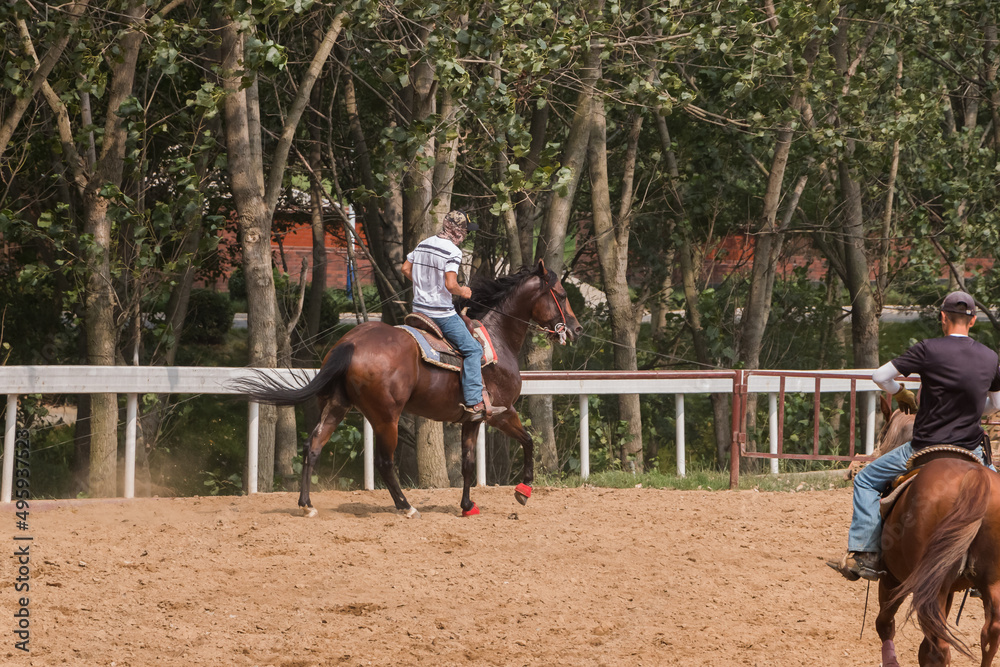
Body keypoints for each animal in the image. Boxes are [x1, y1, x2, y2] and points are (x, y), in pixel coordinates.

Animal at [233, 260, 582, 518]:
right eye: (562, 294)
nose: (577, 329)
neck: (497, 338)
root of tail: (351, 342)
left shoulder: (472, 420)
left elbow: (468, 464)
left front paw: (467, 506)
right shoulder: (500, 413)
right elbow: (529, 442)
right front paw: (523, 490)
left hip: (336, 406)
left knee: (313, 446)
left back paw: (307, 505)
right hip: (387, 418)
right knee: (385, 463)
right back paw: (406, 506)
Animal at [872, 408, 1000, 666]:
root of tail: (974, 478)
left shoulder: (892, 577)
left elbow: (885, 623)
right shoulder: (949, 589)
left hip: (928, 587)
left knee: (940, 645)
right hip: (991, 580)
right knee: (990, 632)